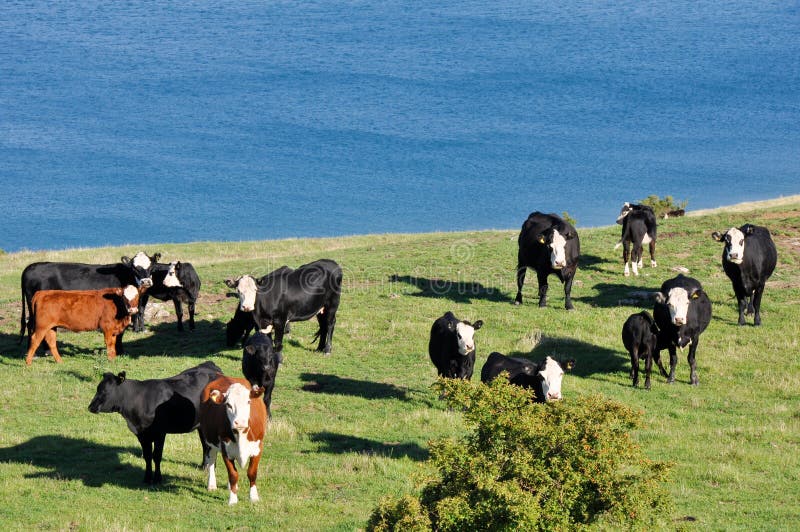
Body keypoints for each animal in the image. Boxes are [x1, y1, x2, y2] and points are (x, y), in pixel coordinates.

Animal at [88, 361, 222, 484]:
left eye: (105, 391)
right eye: (97, 389)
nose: (90, 407)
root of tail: (210, 365)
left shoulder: (160, 433)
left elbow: (157, 456)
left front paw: (157, 478)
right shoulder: (141, 434)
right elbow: (147, 456)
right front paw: (147, 478)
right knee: (205, 445)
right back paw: (205, 467)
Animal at [199, 376, 268, 505]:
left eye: (248, 401)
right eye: (228, 405)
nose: (239, 422)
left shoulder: (258, 448)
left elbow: (252, 473)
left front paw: (254, 497)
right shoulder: (226, 450)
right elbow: (233, 474)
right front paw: (233, 499)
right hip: (209, 441)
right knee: (211, 461)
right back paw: (212, 485)